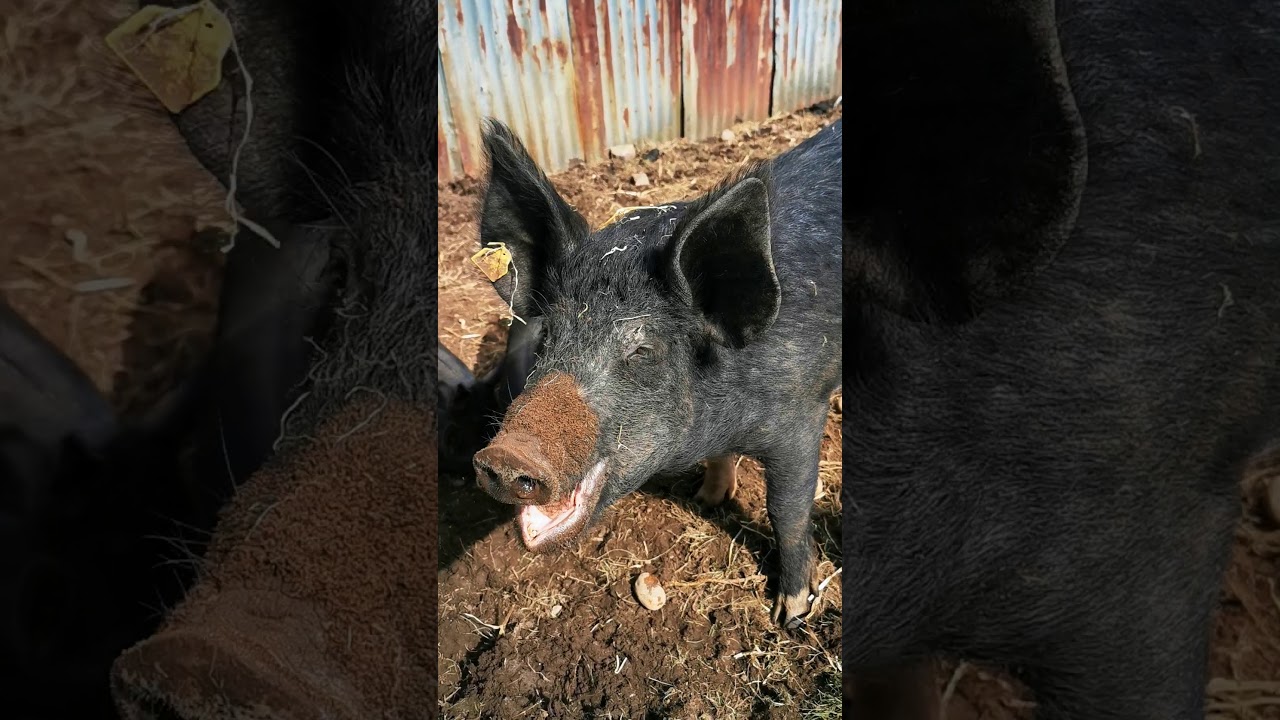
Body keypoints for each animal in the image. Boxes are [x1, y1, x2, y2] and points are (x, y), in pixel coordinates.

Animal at [471, 119, 842, 628]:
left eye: (642, 351)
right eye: (547, 336)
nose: (508, 456)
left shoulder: (803, 411)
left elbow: (787, 512)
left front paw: (791, 613)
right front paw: (707, 499)